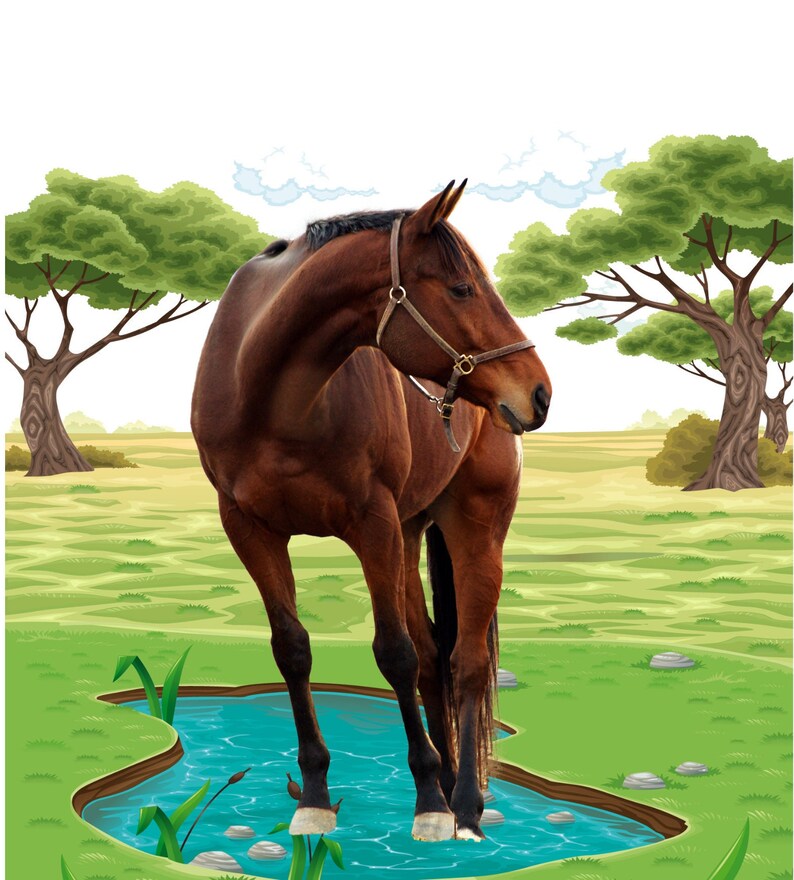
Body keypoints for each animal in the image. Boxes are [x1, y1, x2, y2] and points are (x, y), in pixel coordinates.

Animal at [191, 181, 551, 842]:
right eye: (461, 288)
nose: (538, 392)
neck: (274, 396)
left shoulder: (372, 526)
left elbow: (394, 655)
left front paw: (429, 804)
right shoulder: (250, 530)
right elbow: (294, 650)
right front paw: (314, 797)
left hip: (473, 531)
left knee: (465, 661)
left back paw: (463, 805)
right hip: (408, 537)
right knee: (435, 657)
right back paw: (447, 781)